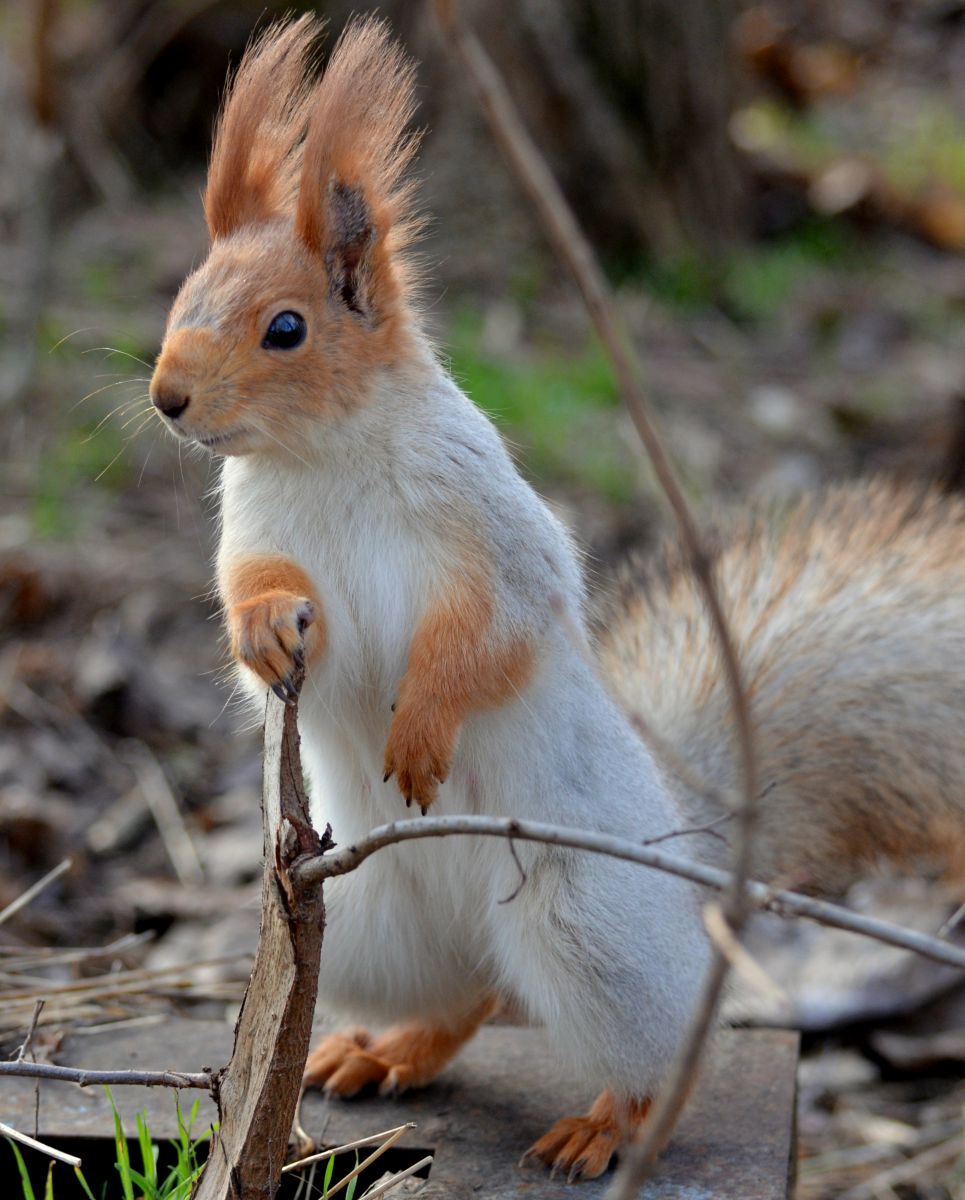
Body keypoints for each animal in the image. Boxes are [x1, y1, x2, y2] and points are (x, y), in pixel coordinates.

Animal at [147, 16, 965, 1180]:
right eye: (183, 300)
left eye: (286, 329)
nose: (167, 398)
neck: (323, 456)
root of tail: (693, 865)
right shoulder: (255, 532)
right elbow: (251, 592)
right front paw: (266, 634)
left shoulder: (496, 545)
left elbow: (482, 639)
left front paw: (422, 732)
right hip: (372, 926)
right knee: (469, 994)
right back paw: (376, 1052)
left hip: (586, 929)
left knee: (653, 1046)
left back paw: (605, 1126)